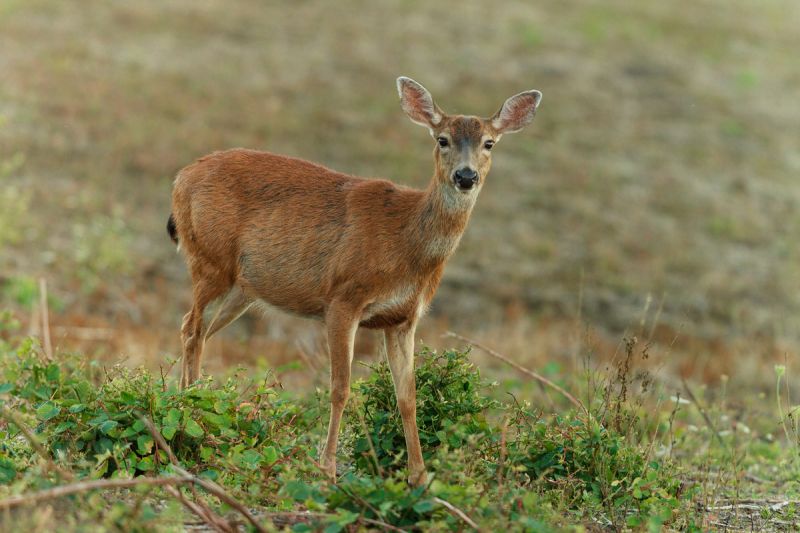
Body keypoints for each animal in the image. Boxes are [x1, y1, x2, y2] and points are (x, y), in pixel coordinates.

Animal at [167, 77, 541, 485]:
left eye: (489, 142)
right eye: (442, 139)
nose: (466, 176)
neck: (405, 241)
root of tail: (181, 177)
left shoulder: (403, 319)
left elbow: (407, 396)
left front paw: (419, 476)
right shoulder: (343, 299)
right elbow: (340, 388)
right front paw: (327, 469)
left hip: (242, 288)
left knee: (195, 329)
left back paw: (190, 406)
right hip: (209, 260)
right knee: (190, 328)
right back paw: (191, 415)